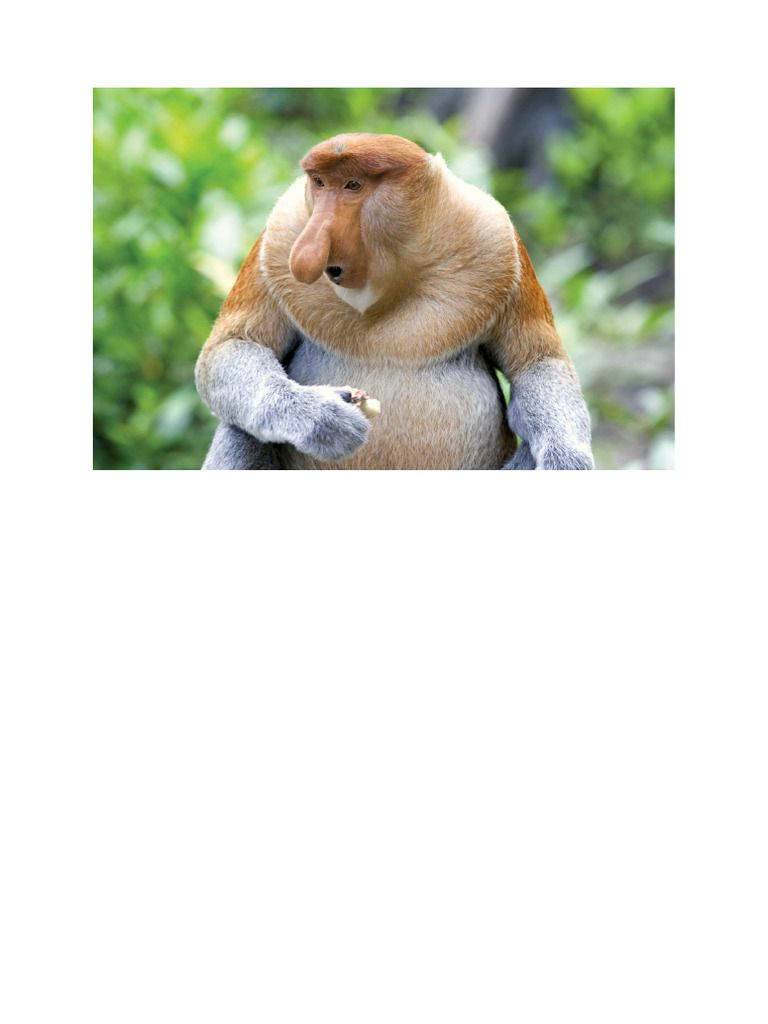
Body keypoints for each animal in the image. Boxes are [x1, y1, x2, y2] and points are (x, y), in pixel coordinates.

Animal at [195, 132, 594, 470]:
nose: (305, 253)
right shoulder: (280, 235)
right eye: (320, 183)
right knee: (240, 426)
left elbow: (537, 362)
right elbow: (231, 347)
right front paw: (321, 418)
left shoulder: (497, 238)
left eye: (353, 185)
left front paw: (566, 461)